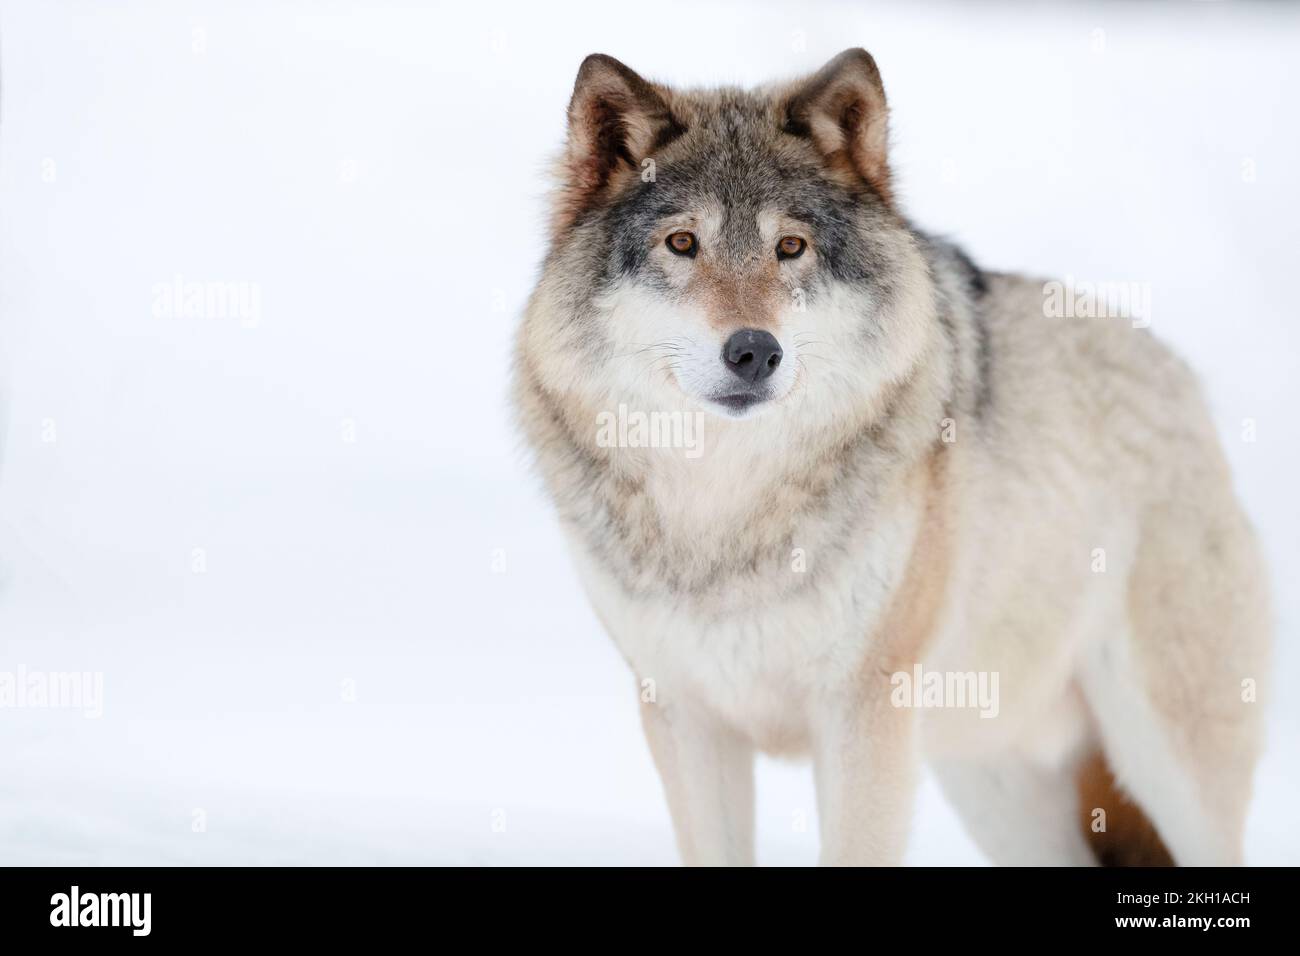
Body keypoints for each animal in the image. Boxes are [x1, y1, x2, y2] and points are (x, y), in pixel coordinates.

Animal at [513, 49, 1269, 865]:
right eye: (682, 244)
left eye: (791, 247)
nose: (754, 351)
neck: (727, 511)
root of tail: (1183, 379)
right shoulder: (685, 717)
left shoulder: (865, 715)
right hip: (991, 785)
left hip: (1167, 771)